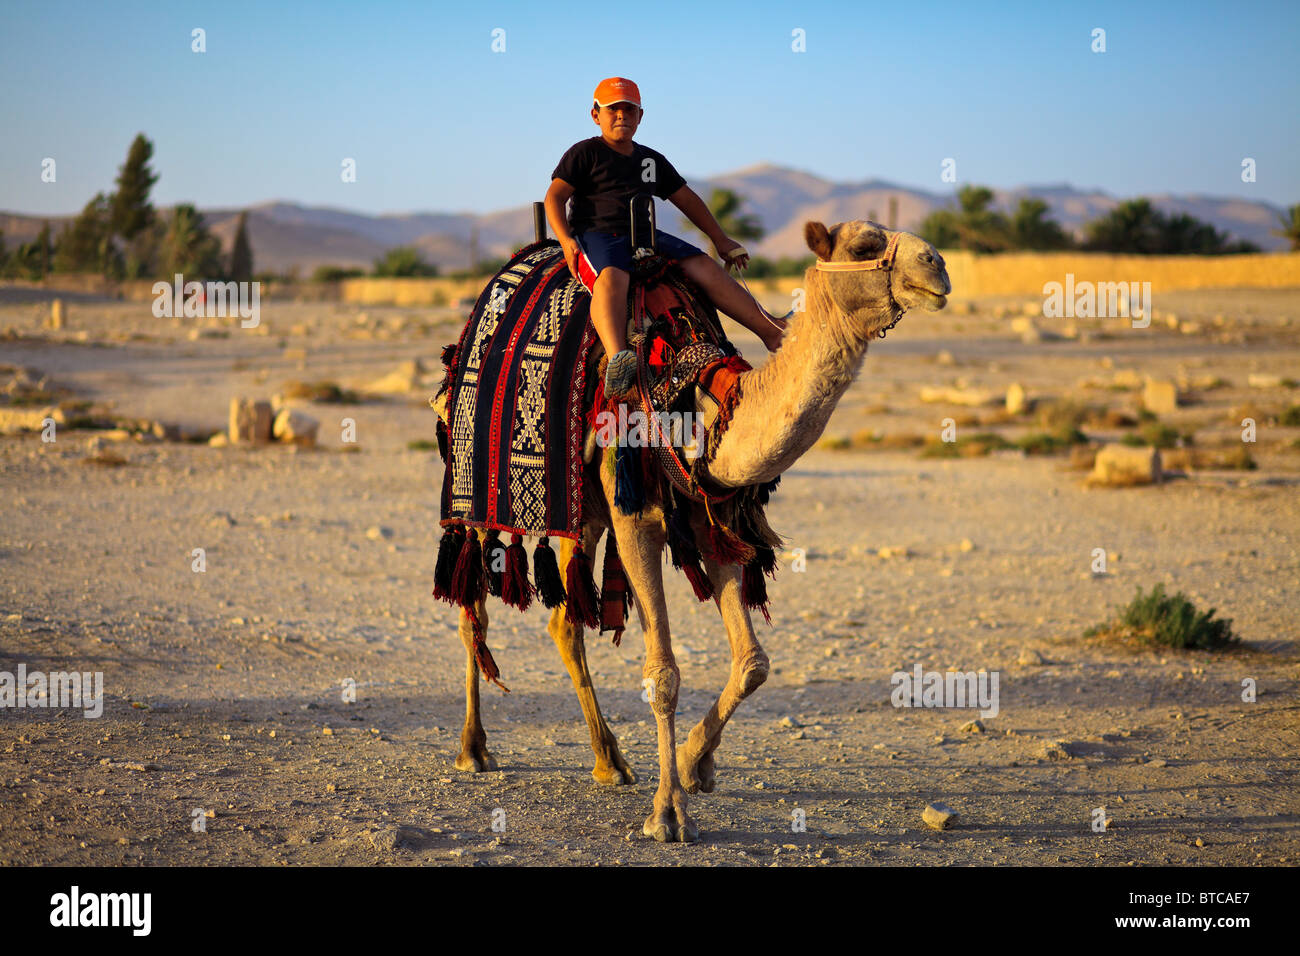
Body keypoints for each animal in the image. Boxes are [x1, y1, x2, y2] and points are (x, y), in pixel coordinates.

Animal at [442, 219, 951, 842]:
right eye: (864, 245)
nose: (937, 266)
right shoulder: (636, 520)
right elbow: (663, 674)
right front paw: (667, 813)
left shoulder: (714, 523)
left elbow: (753, 663)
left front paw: (693, 763)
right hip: (471, 491)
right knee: (474, 606)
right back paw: (474, 748)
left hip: (583, 515)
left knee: (565, 622)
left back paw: (609, 760)